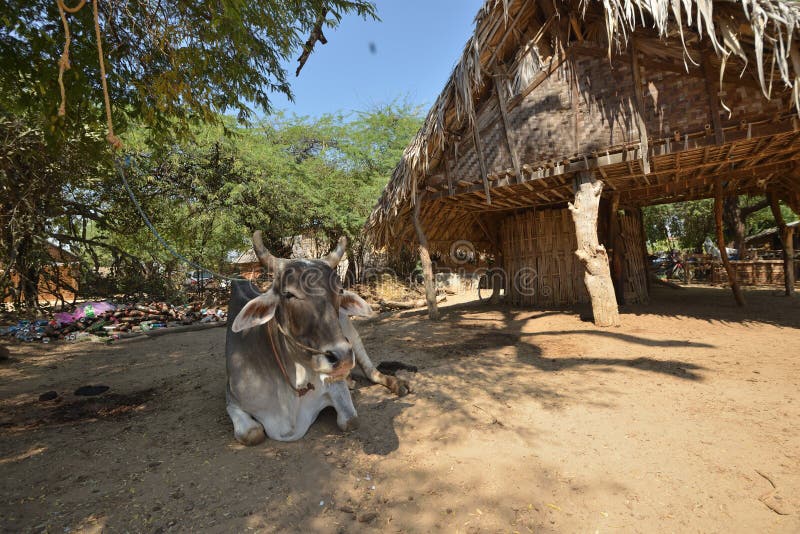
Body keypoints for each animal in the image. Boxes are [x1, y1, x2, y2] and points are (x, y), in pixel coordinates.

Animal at [225, 231, 410, 445]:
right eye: (289, 294)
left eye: (339, 290)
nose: (341, 357)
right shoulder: (232, 399)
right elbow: (252, 434)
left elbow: (350, 420)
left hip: (353, 337)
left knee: (372, 372)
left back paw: (398, 384)